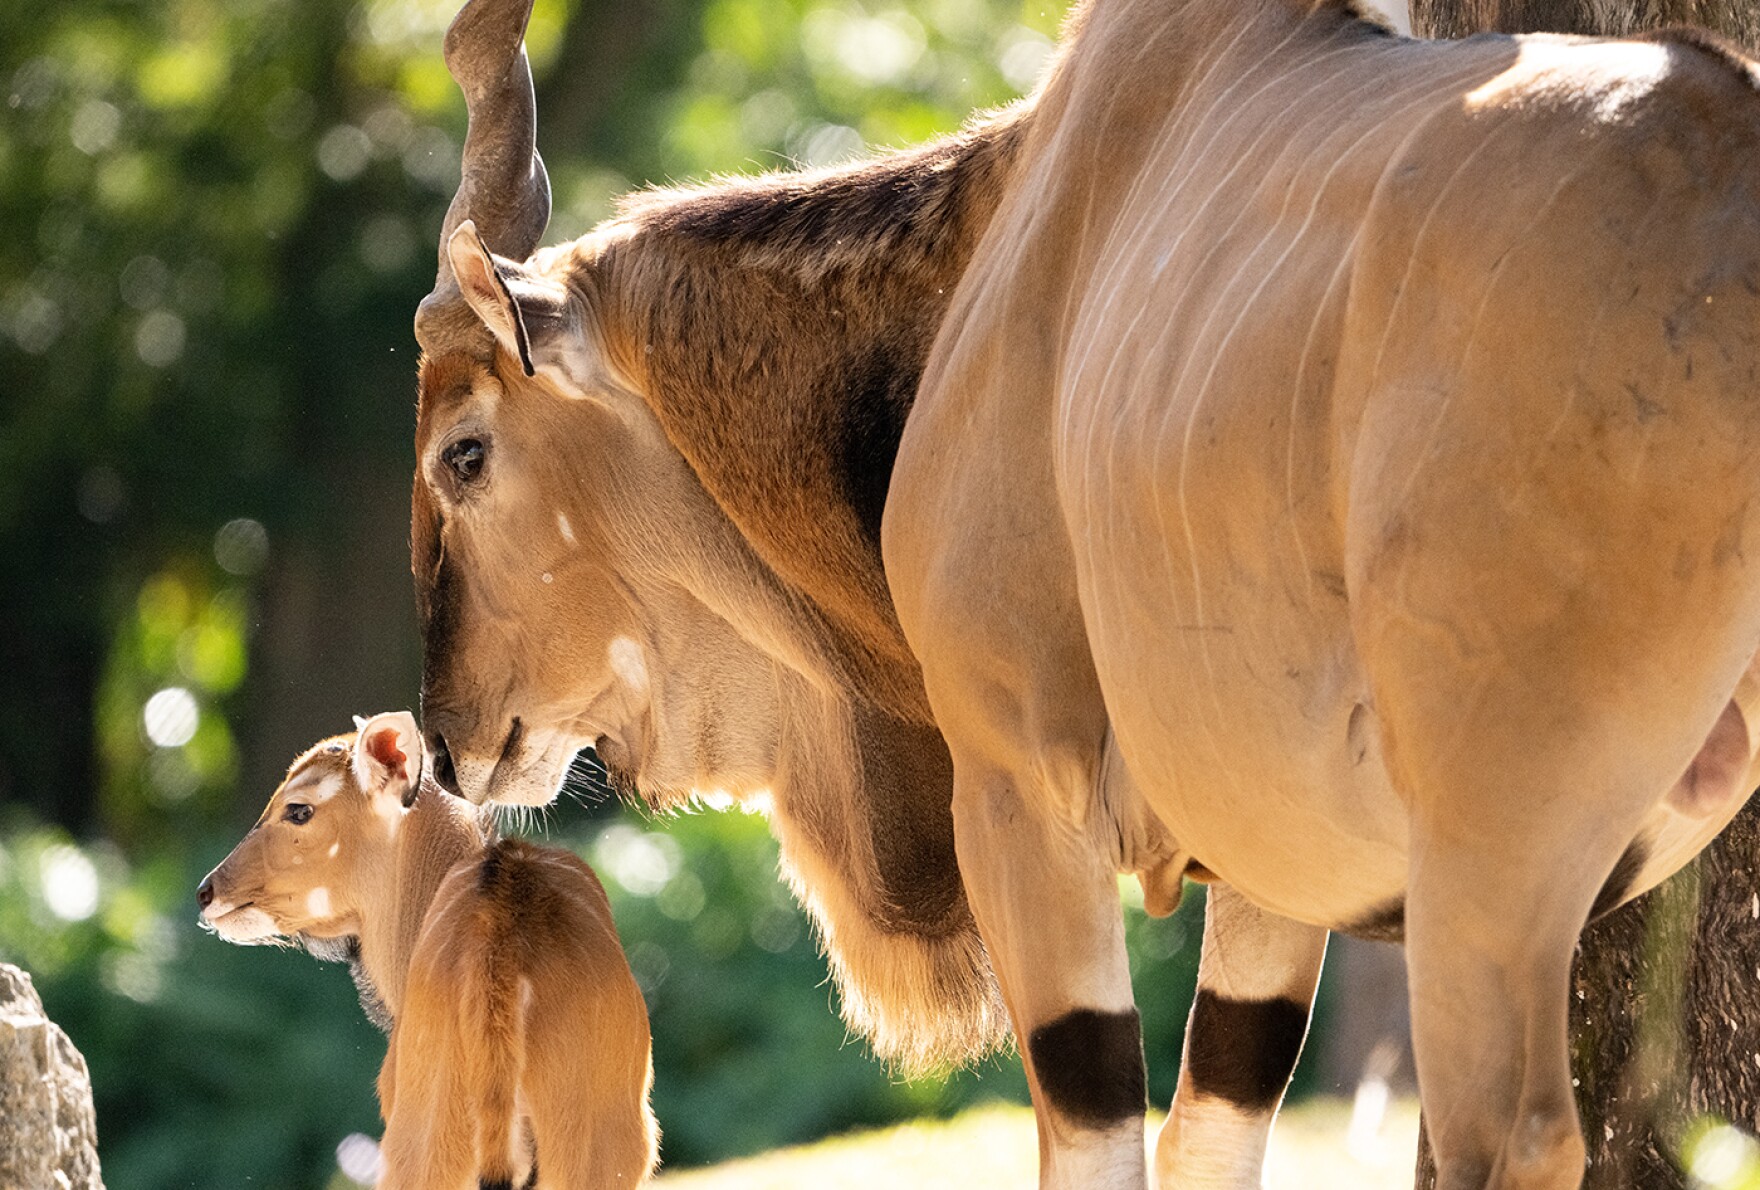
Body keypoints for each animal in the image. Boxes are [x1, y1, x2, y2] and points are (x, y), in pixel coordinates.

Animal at [401, 0, 1760, 1186]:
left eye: (462, 452)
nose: (448, 742)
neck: (1024, 235)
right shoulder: (1262, 868)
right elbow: (1209, 1130)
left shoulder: (1019, 787)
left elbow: (1097, 1131)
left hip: (1492, 848)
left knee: (1511, 1135)